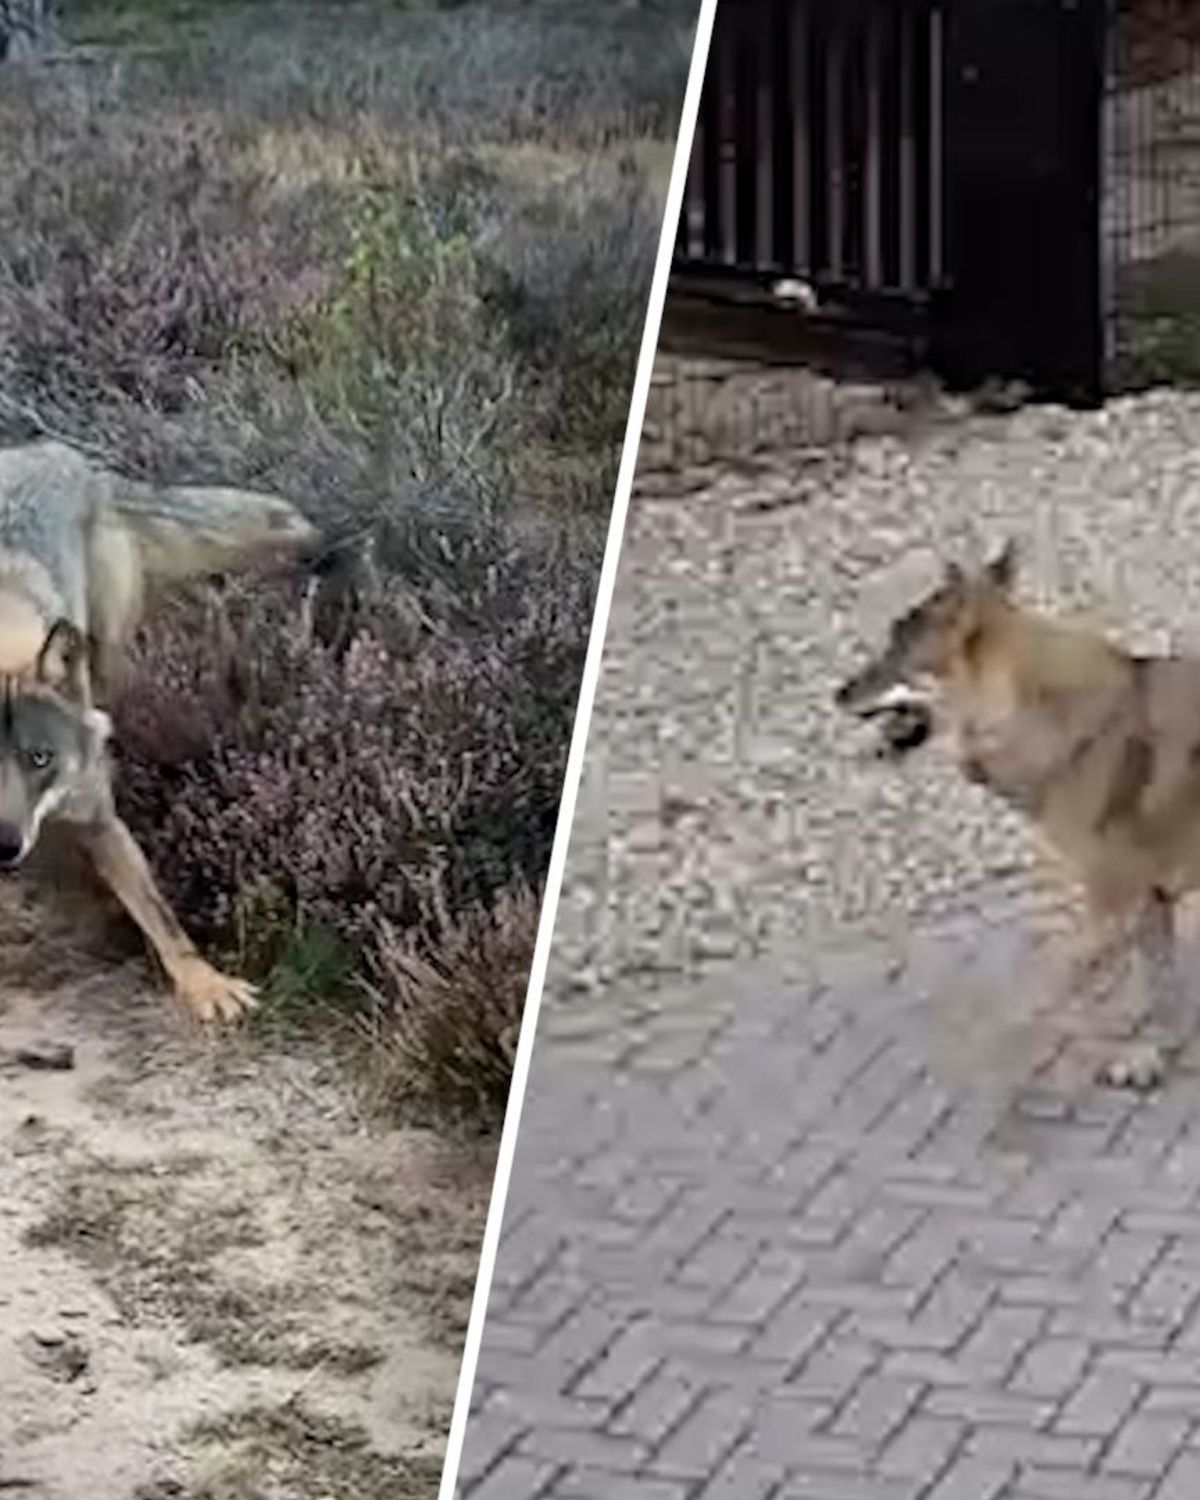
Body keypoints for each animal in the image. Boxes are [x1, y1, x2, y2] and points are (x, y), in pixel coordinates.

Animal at [0, 440, 320, 1022]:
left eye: (40, 759)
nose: (6, 847)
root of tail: (56, 451)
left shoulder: (97, 817)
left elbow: (162, 920)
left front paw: (207, 985)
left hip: (106, 658)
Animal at [835, 542, 1200, 1090]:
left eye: (896, 648)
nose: (838, 693)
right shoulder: (1147, 902)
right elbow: (1159, 989)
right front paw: (1158, 1054)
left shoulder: (1115, 905)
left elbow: (1080, 988)